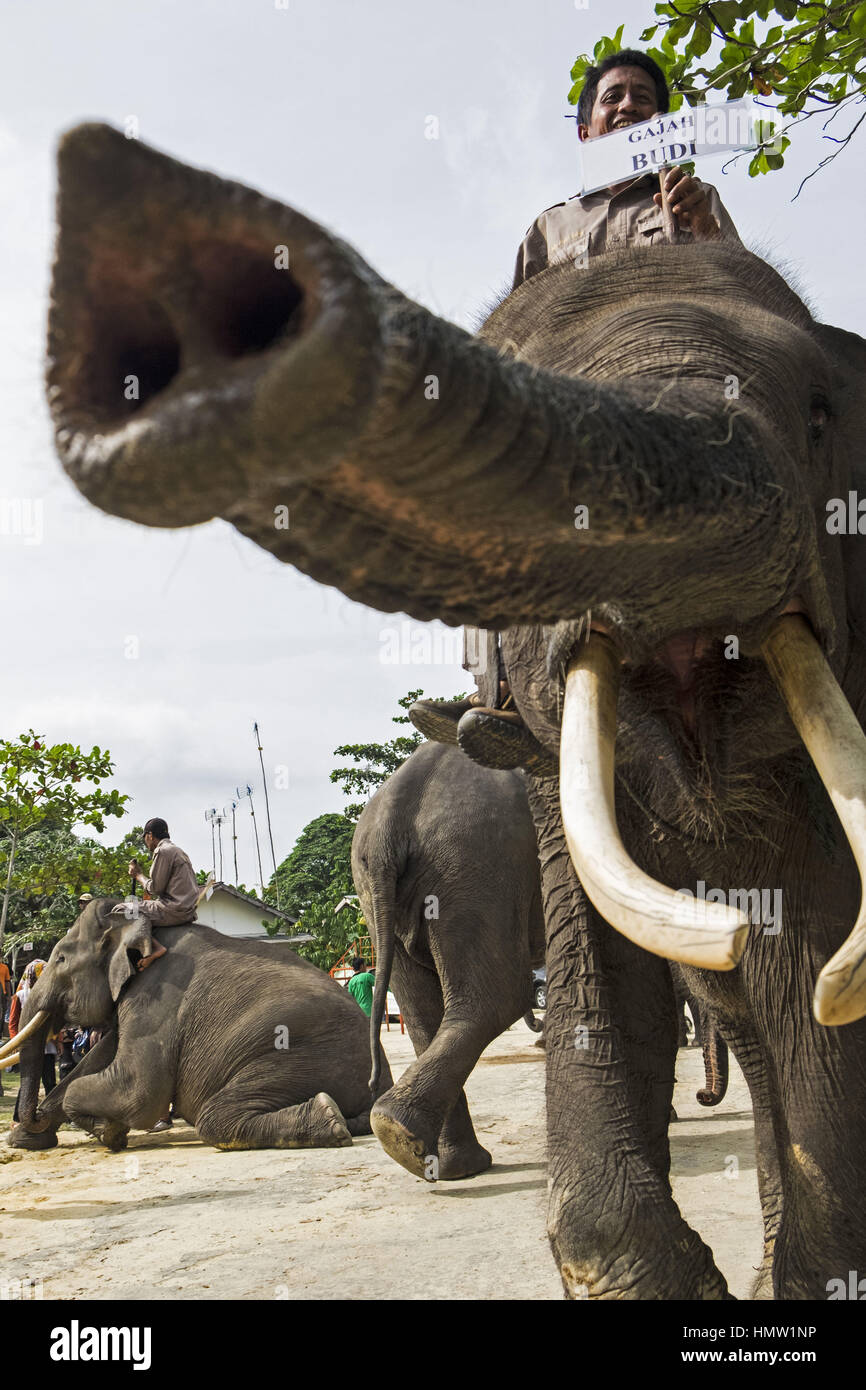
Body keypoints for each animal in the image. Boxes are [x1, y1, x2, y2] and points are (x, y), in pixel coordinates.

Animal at [6, 898, 393, 1152]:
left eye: (60, 958)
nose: (31, 1124)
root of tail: (381, 1085)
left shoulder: (156, 996)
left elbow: (138, 1091)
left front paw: (110, 1134)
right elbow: (101, 1058)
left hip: (297, 1052)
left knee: (215, 1117)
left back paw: (329, 1118)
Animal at [352, 741, 546, 1180]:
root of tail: (389, 815)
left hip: (389, 890)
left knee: (423, 1014)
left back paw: (426, 1152)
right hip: (477, 867)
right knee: (497, 997)